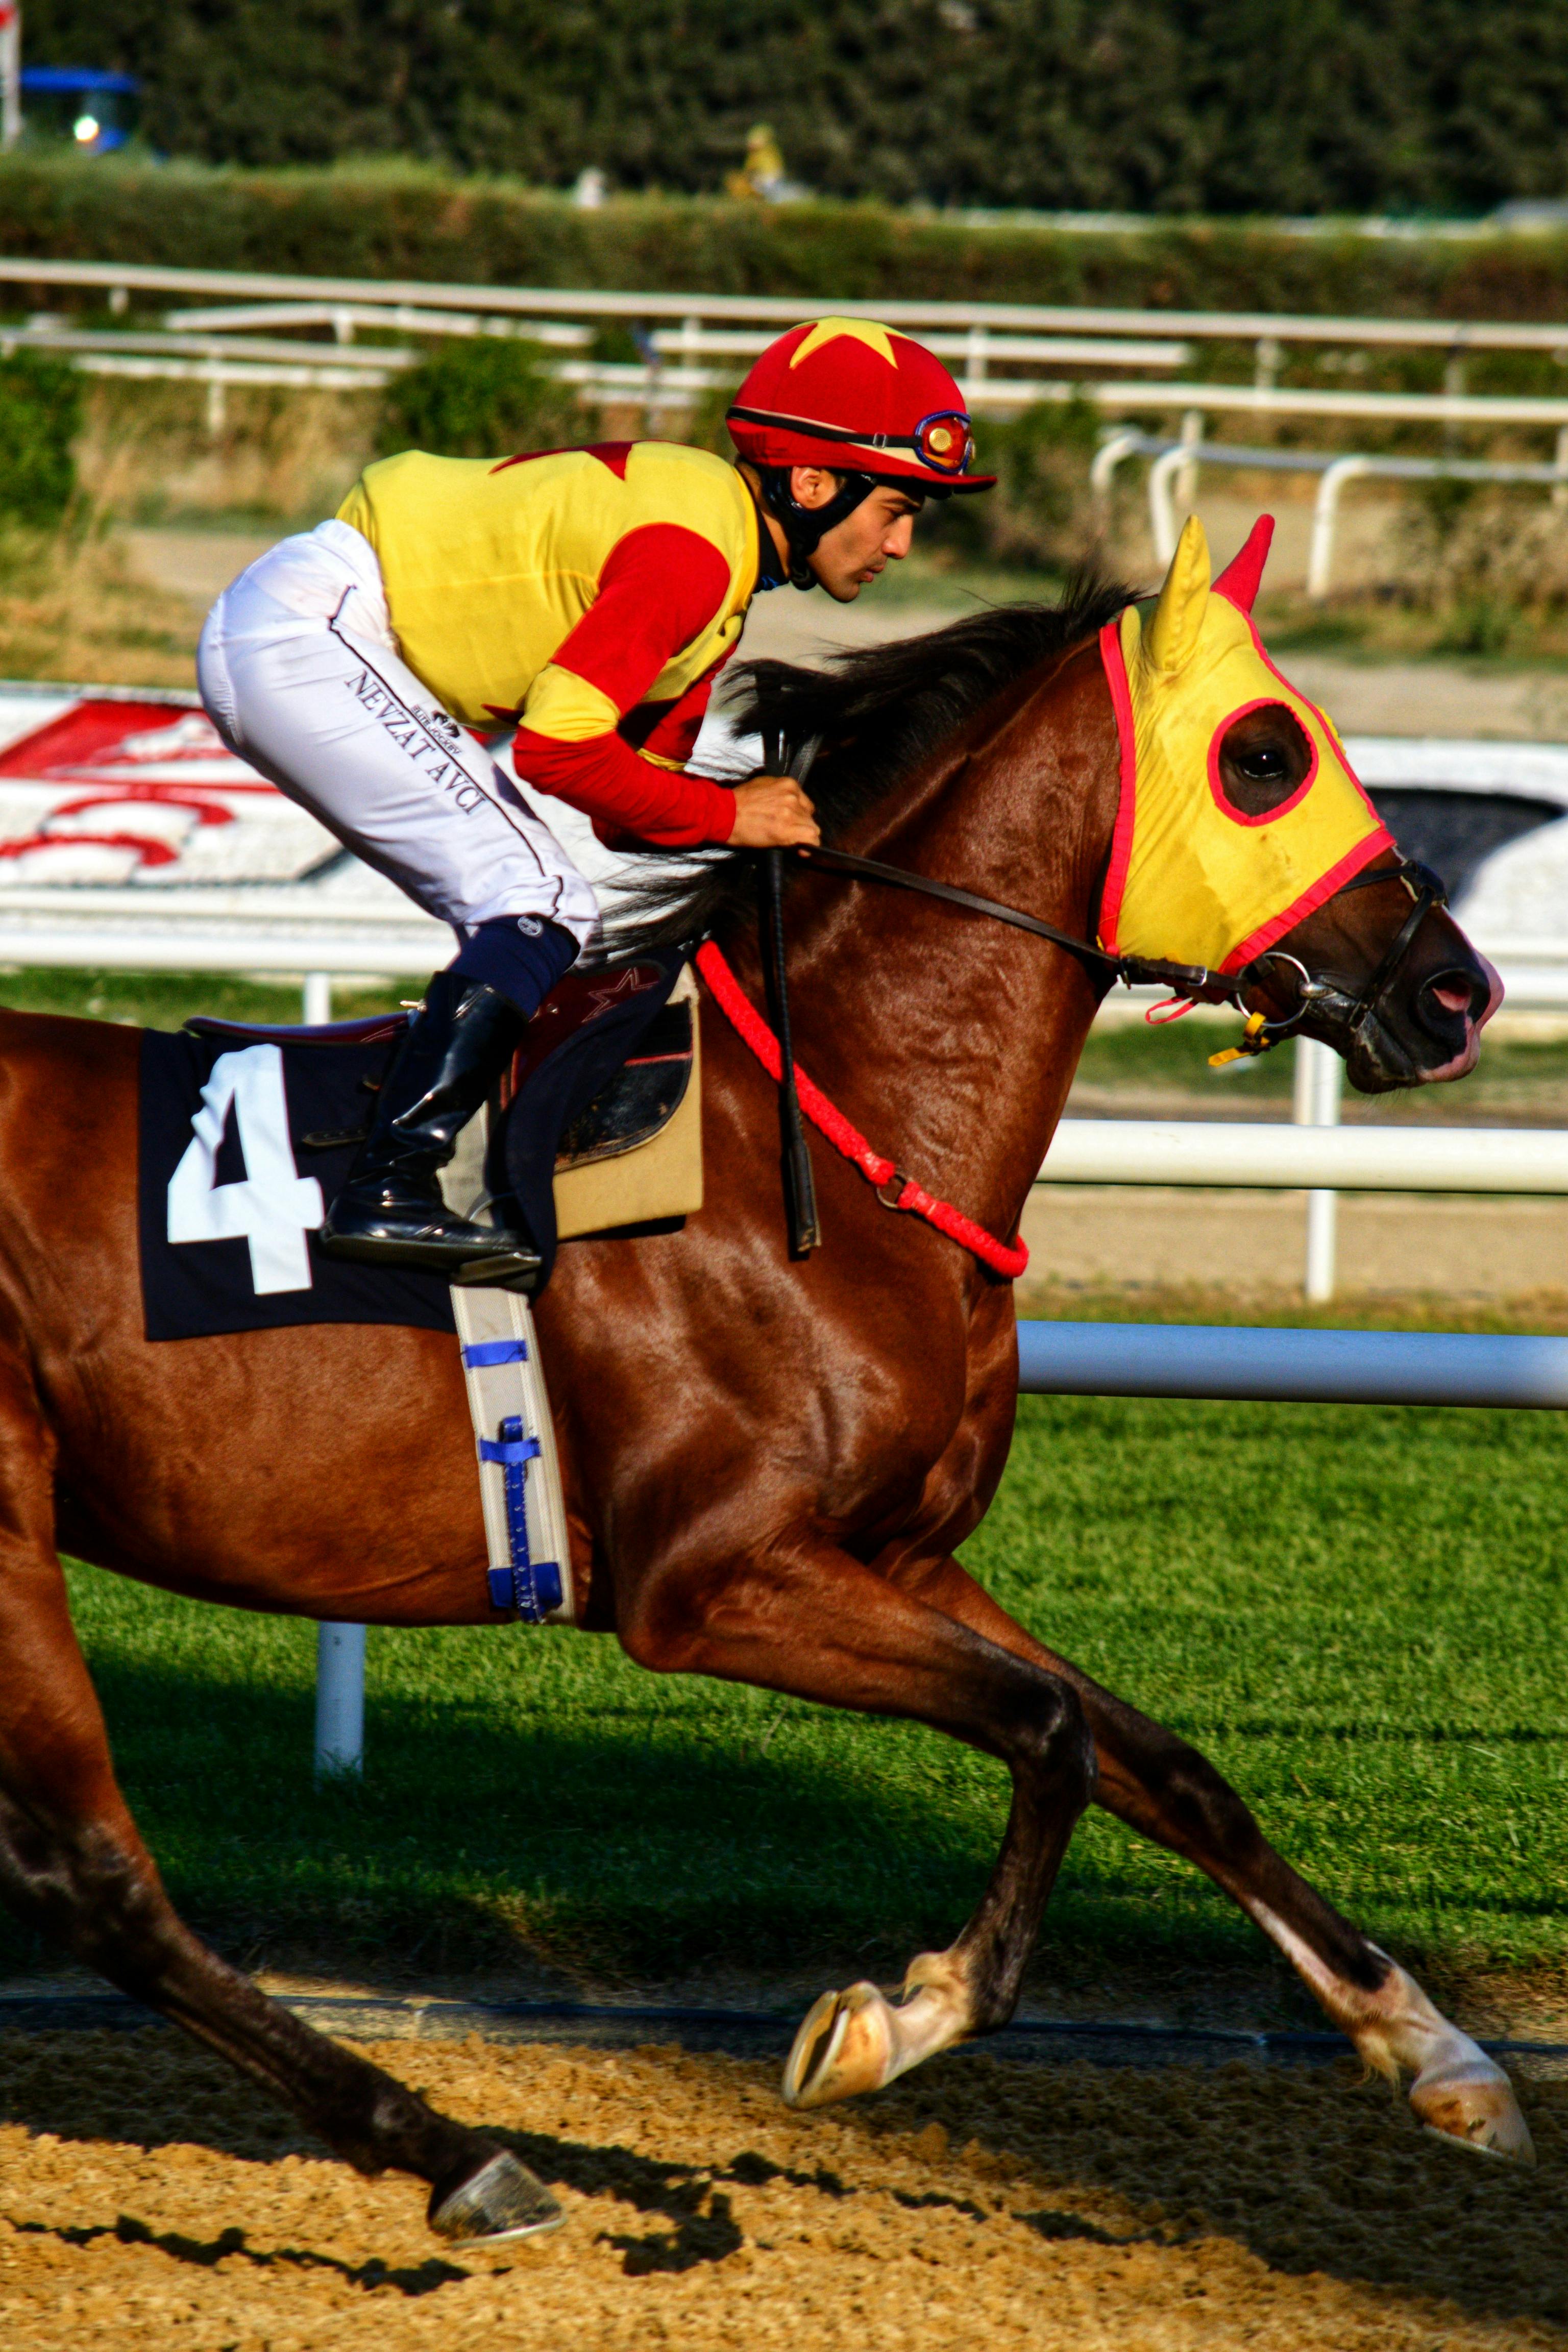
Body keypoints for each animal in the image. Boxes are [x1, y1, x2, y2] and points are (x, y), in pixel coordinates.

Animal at [0, 552, 1529, 2252]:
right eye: (1265, 755)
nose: (1457, 990)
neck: (823, 1134)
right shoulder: (712, 1581)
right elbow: (1055, 1729)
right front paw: (895, 2021)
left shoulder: (896, 1553)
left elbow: (1165, 1762)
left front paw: (1438, 2050)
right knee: (92, 1877)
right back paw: (456, 2153)